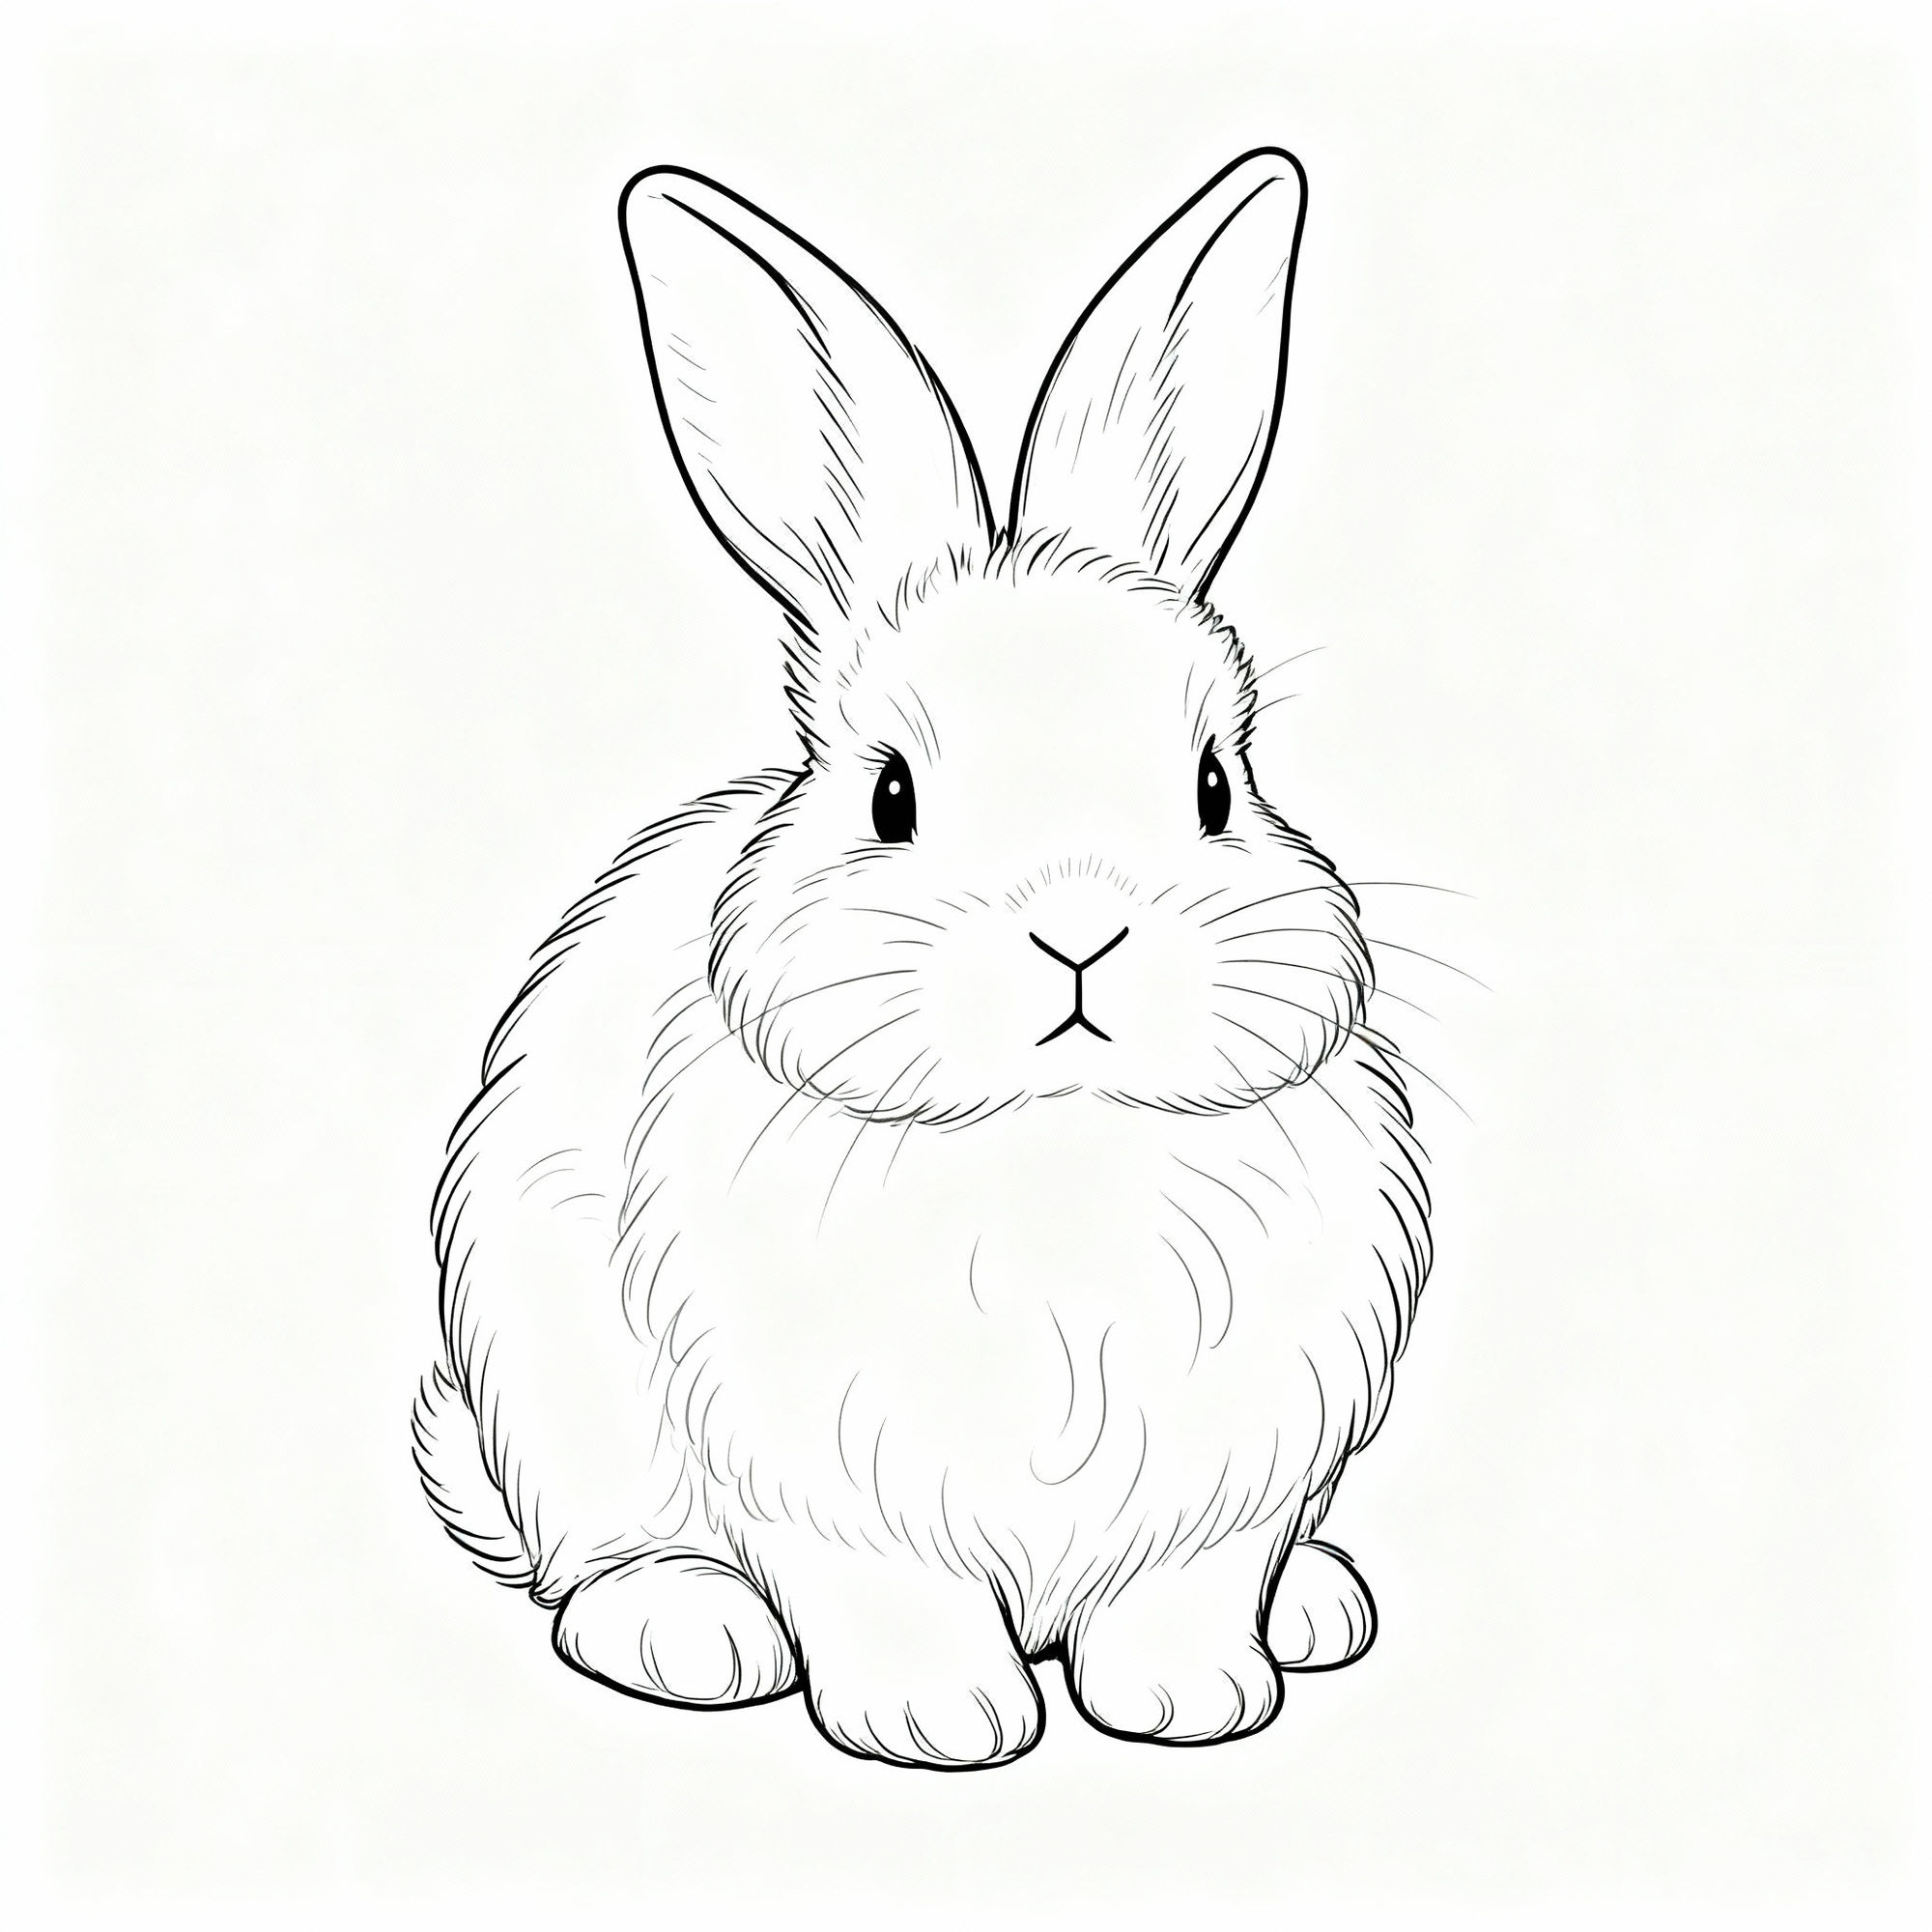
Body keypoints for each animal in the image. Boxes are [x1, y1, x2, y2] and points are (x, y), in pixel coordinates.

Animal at [412, 148, 1431, 1770]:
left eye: (1217, 784)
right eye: (890, 795)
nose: (1080, 928)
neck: (1060, 1150)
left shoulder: (1242, 1467)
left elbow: (1186, 1591)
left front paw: (1195, 1702)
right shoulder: (820, 1470)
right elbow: (886, 1592)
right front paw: (939, 1722)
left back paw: (1319, 1604)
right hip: (545, 1376)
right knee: (599, 1554)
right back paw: (686, 1630)